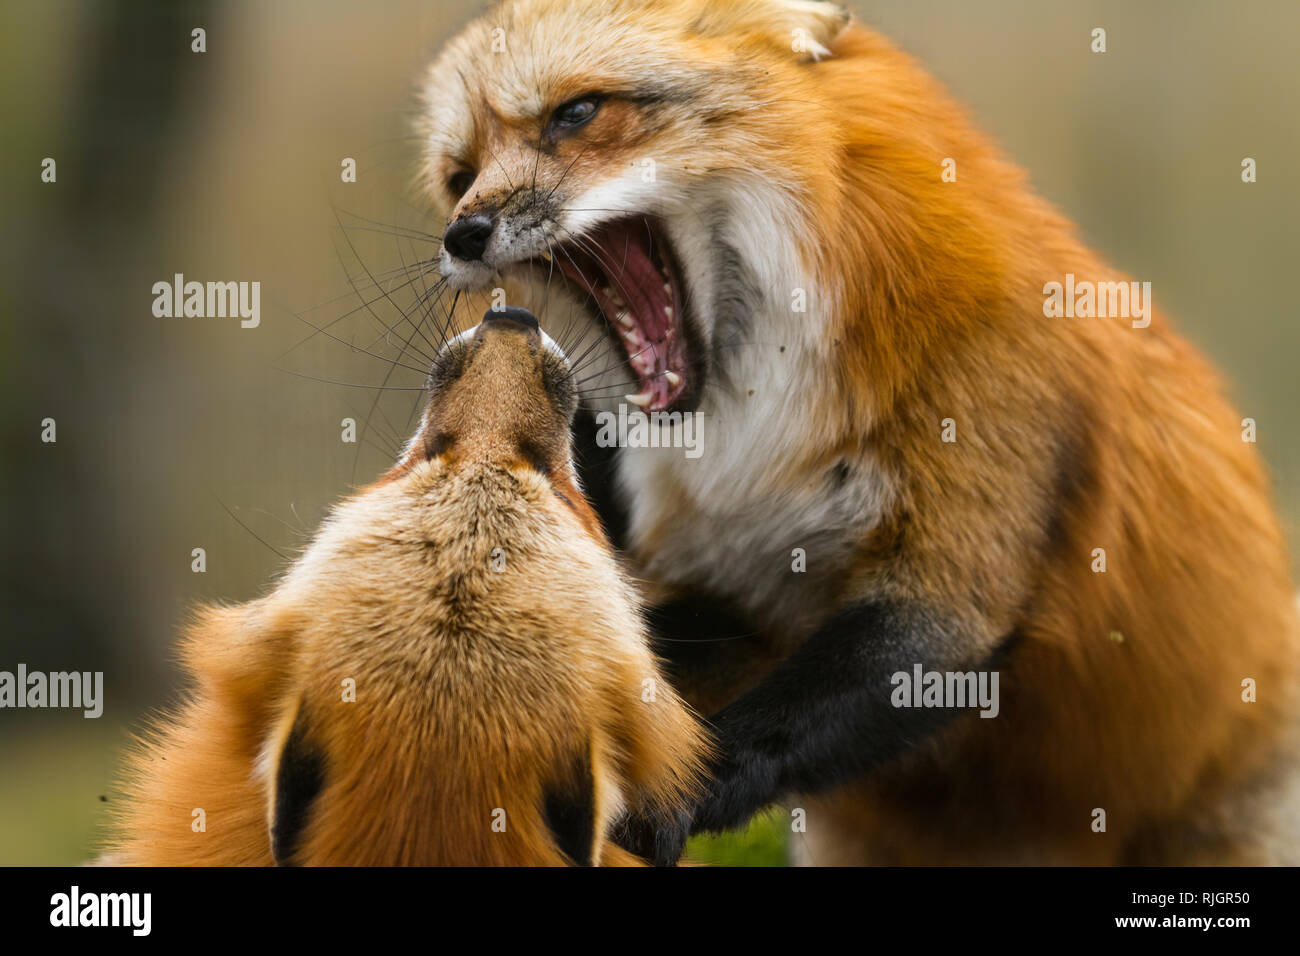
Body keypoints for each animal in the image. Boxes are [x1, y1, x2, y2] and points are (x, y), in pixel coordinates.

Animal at [421, 0, 1300, 864]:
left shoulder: (955, 571)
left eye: (574, 114)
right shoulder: (730, 601)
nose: (463, 235)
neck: (759, 435)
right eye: (460, 176)